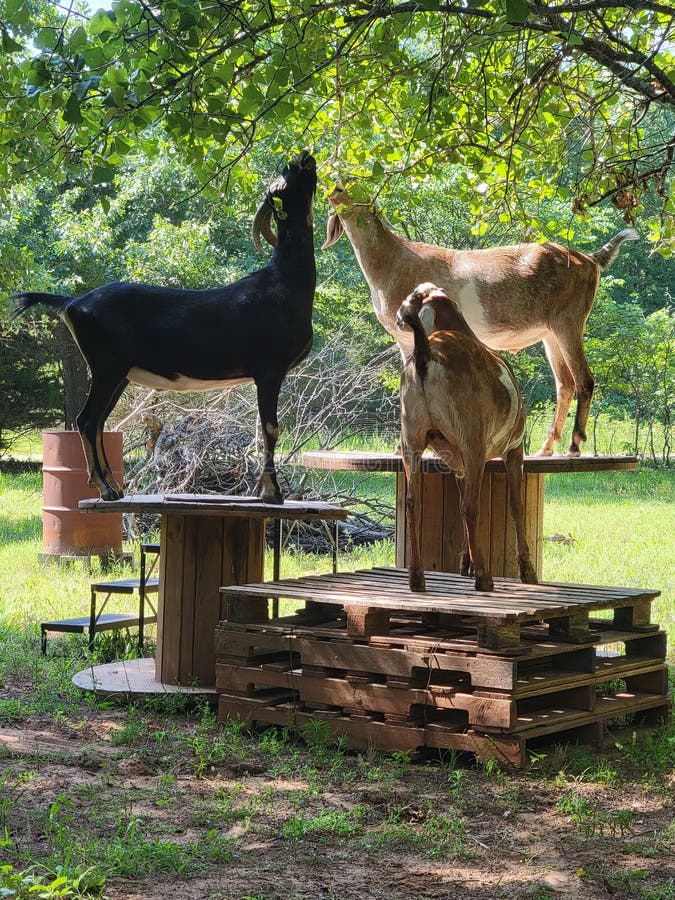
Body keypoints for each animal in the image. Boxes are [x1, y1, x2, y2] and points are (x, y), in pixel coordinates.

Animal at [12, 150, 317, 503]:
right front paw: (272, 494)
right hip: (107, 367)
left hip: (117, 374)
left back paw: (114, 486)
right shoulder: (269, 369)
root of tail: (72, 303)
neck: (284, 282)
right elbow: (270, 428)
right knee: (87, 420)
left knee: (98, 421)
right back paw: (106, 489)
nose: (305, 157)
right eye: (288, 177)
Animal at [323, 188, 639, 457]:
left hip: (568, 322)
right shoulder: (404, 339)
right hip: (550, 333)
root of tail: (591, 260)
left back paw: (573, 446)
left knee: (584, 380)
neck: (394, 260)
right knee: (565, 383)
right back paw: (547, 448)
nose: (332, 192)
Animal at [397, 282, 538, 593]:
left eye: (414, 294)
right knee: (471, 507)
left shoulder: (457, 465)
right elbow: (516, 505)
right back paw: (484, 577)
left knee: (412, 502)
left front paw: (465, 563)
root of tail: (426, 352)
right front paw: (527, 570)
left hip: (411, 442)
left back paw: (417, 576)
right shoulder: (514, 449)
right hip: (473, 442)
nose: (398, 316)